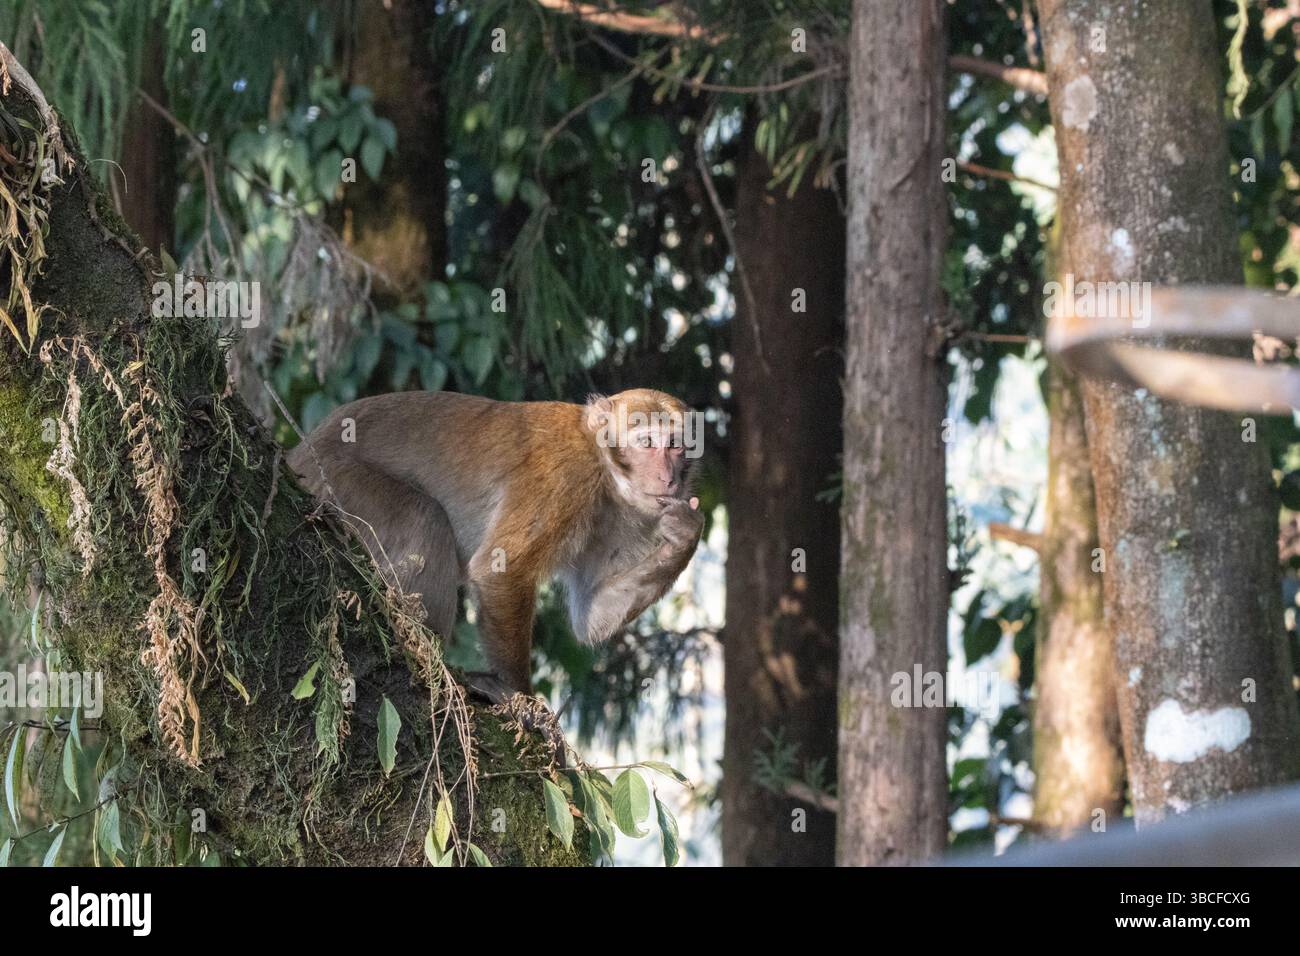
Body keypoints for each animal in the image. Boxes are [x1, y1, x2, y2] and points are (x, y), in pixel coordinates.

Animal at [286, 388, 704, 700]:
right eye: (647, 442)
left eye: (675, 445)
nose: (669, 478)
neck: (604, 469)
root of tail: (299, 453)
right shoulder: (566, 479)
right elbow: (500, 569)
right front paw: (518, 695)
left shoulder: (624, 517)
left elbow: (591, 617)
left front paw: (685, 536)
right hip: (337, 486)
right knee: (424, 518)